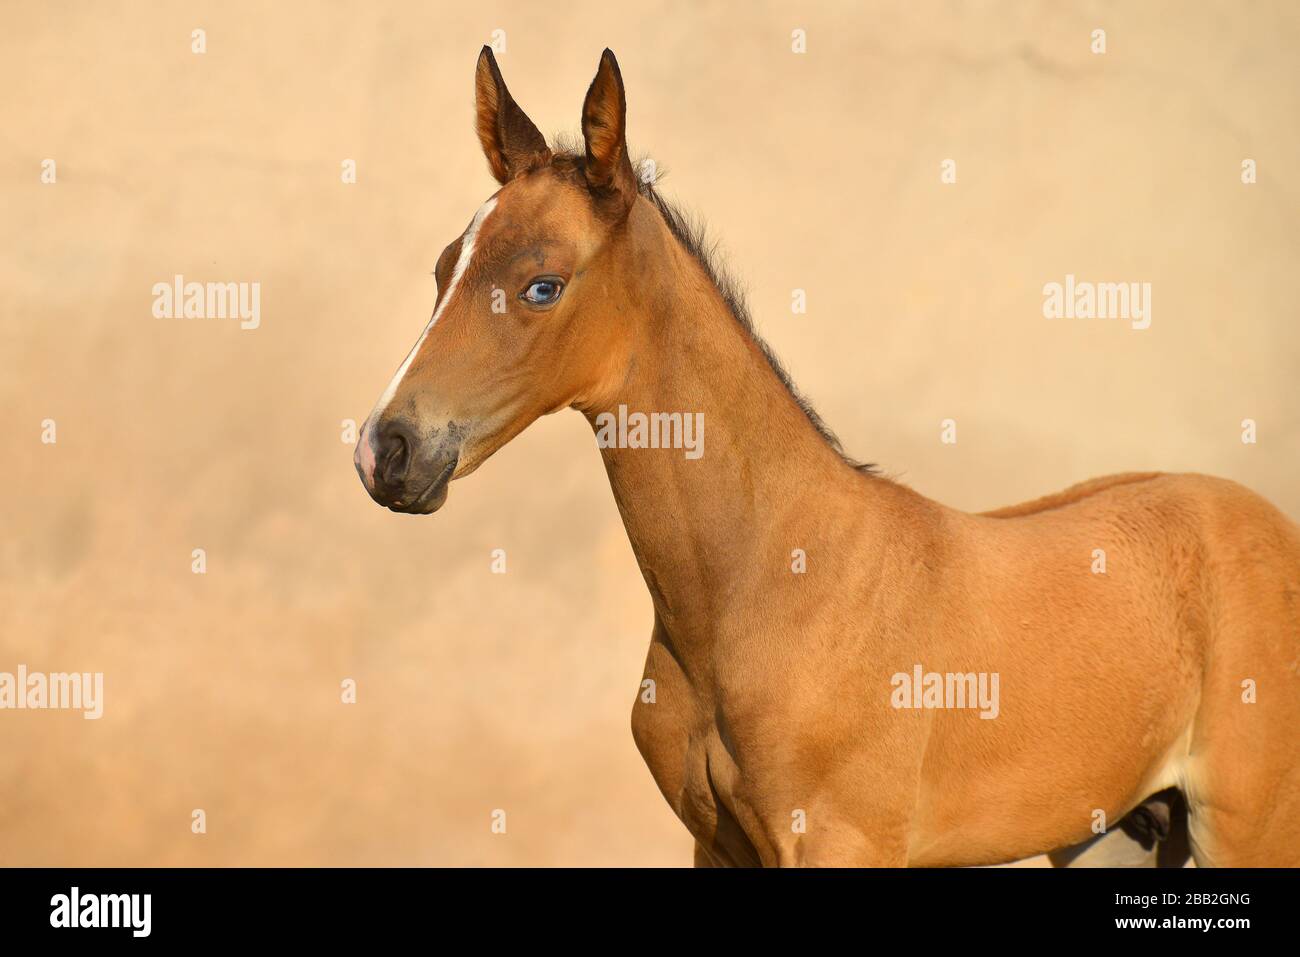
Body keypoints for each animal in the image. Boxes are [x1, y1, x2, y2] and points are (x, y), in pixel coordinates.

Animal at [354, 47, 1300, 867]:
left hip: (1248, 824)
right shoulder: (716, 847)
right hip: (1114, 829)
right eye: (444, 267)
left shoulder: (839, 842)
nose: (385, 451)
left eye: (542, 284)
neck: (770, 580)